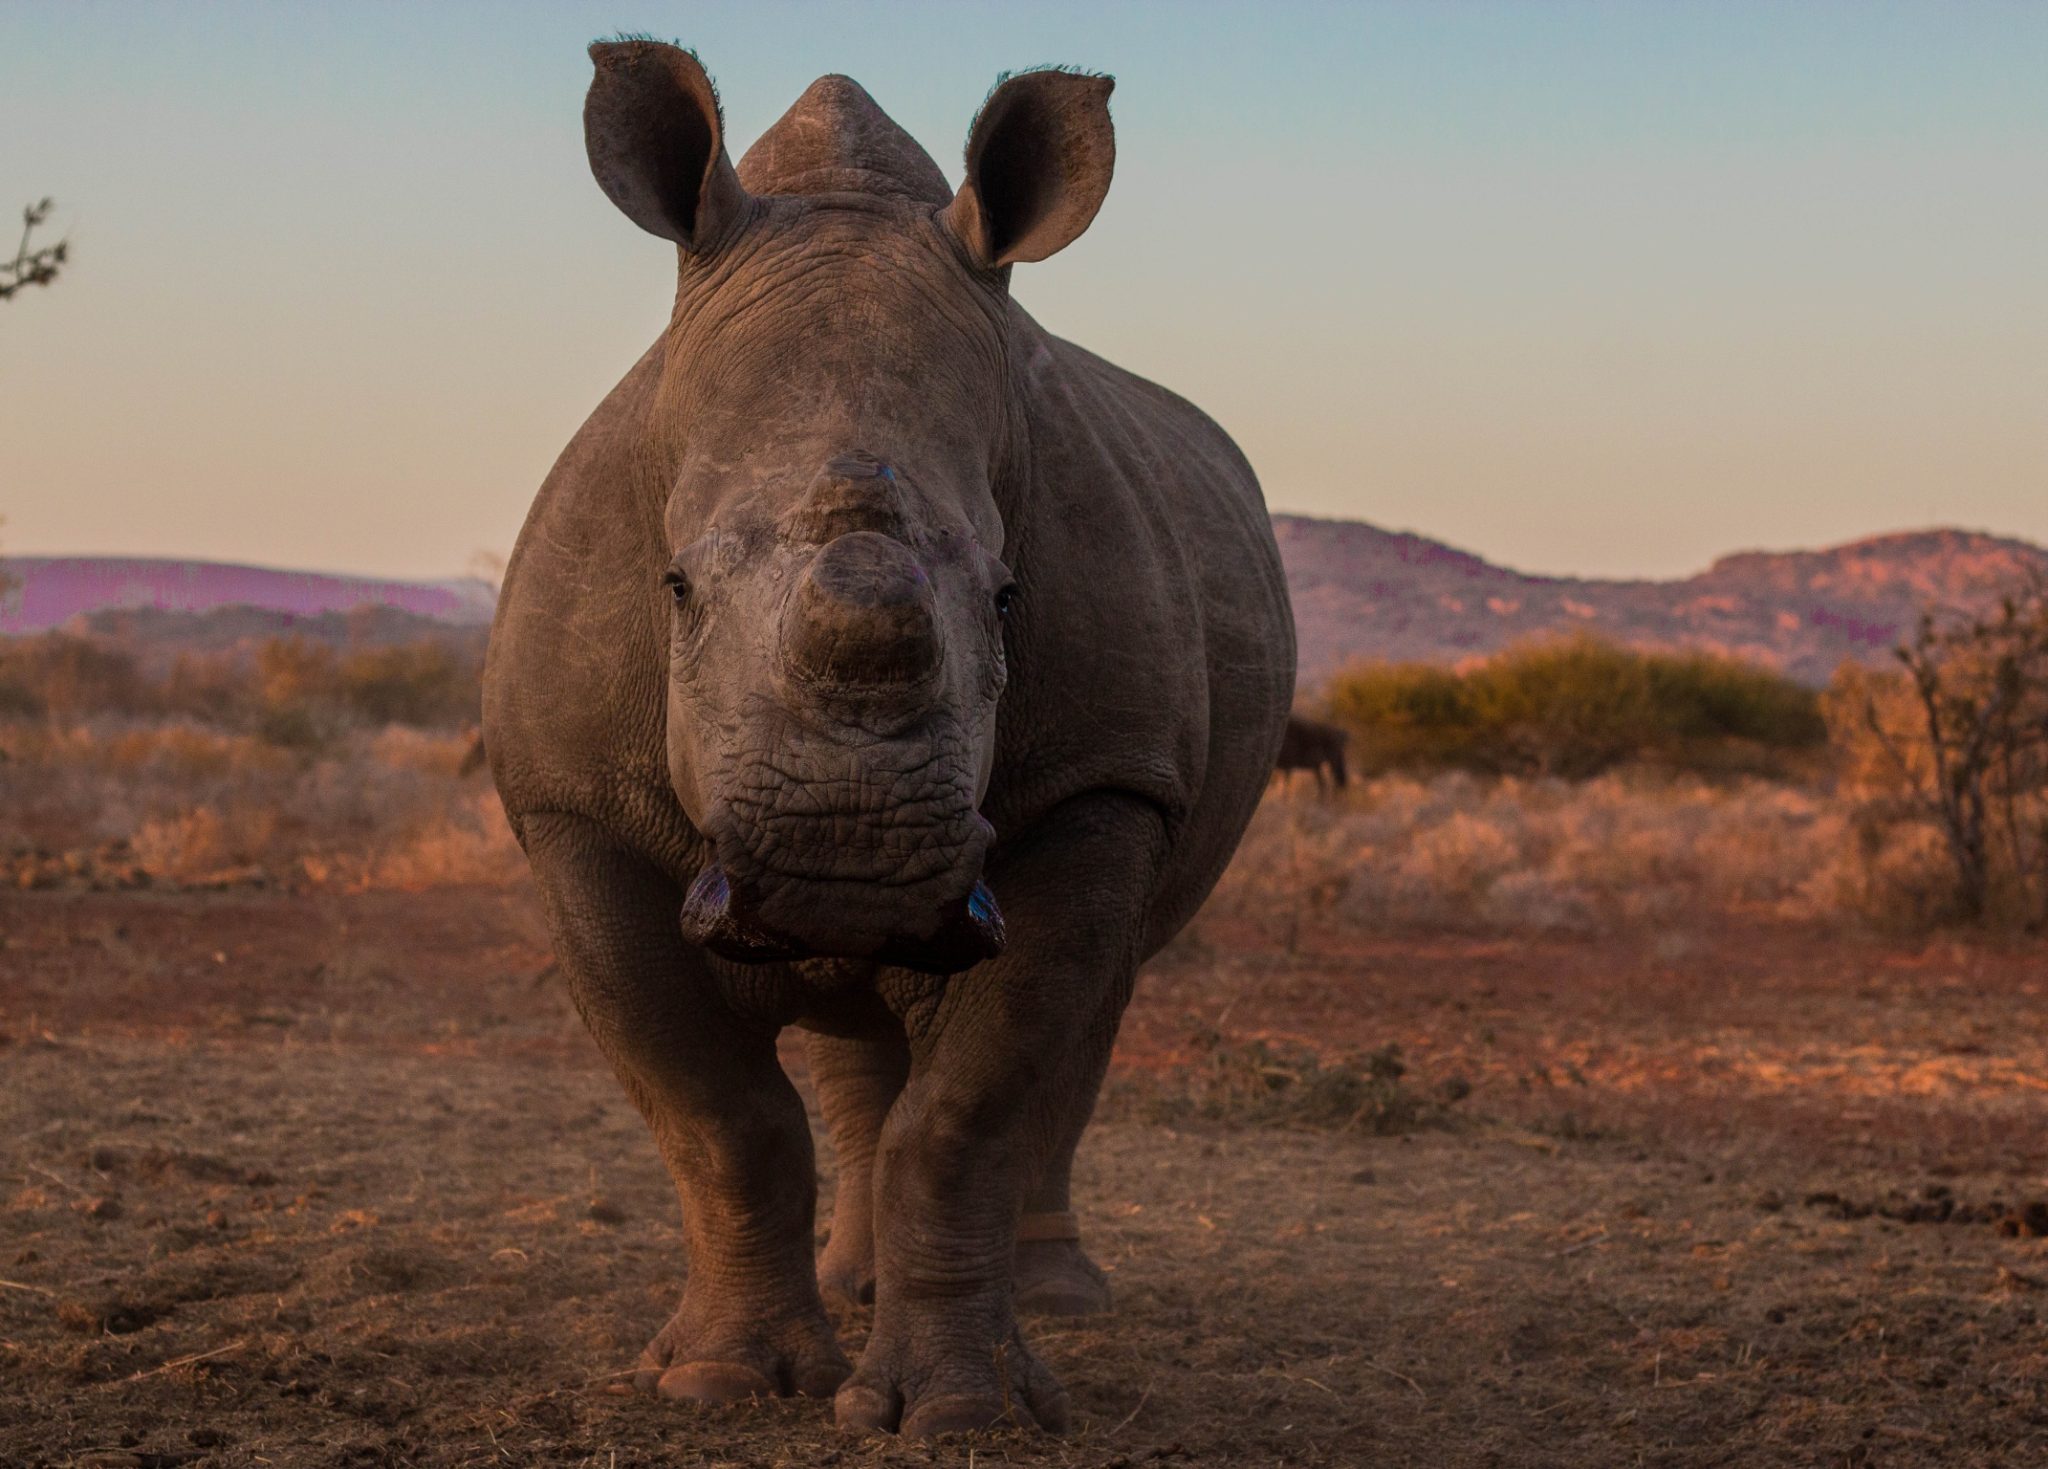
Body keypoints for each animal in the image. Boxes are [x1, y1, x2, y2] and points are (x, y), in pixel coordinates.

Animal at [484, 40, 1294, 1437]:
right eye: (674, 589)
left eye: (1011, 598)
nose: (846, 858)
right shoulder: (568, 801)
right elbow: (721, 1112)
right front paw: (718, 1381)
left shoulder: (1100, 781)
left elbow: (965, 1114)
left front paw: (964, 1411)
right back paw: (849, 1284)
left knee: (1082, 1019)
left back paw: (1060, 1299)